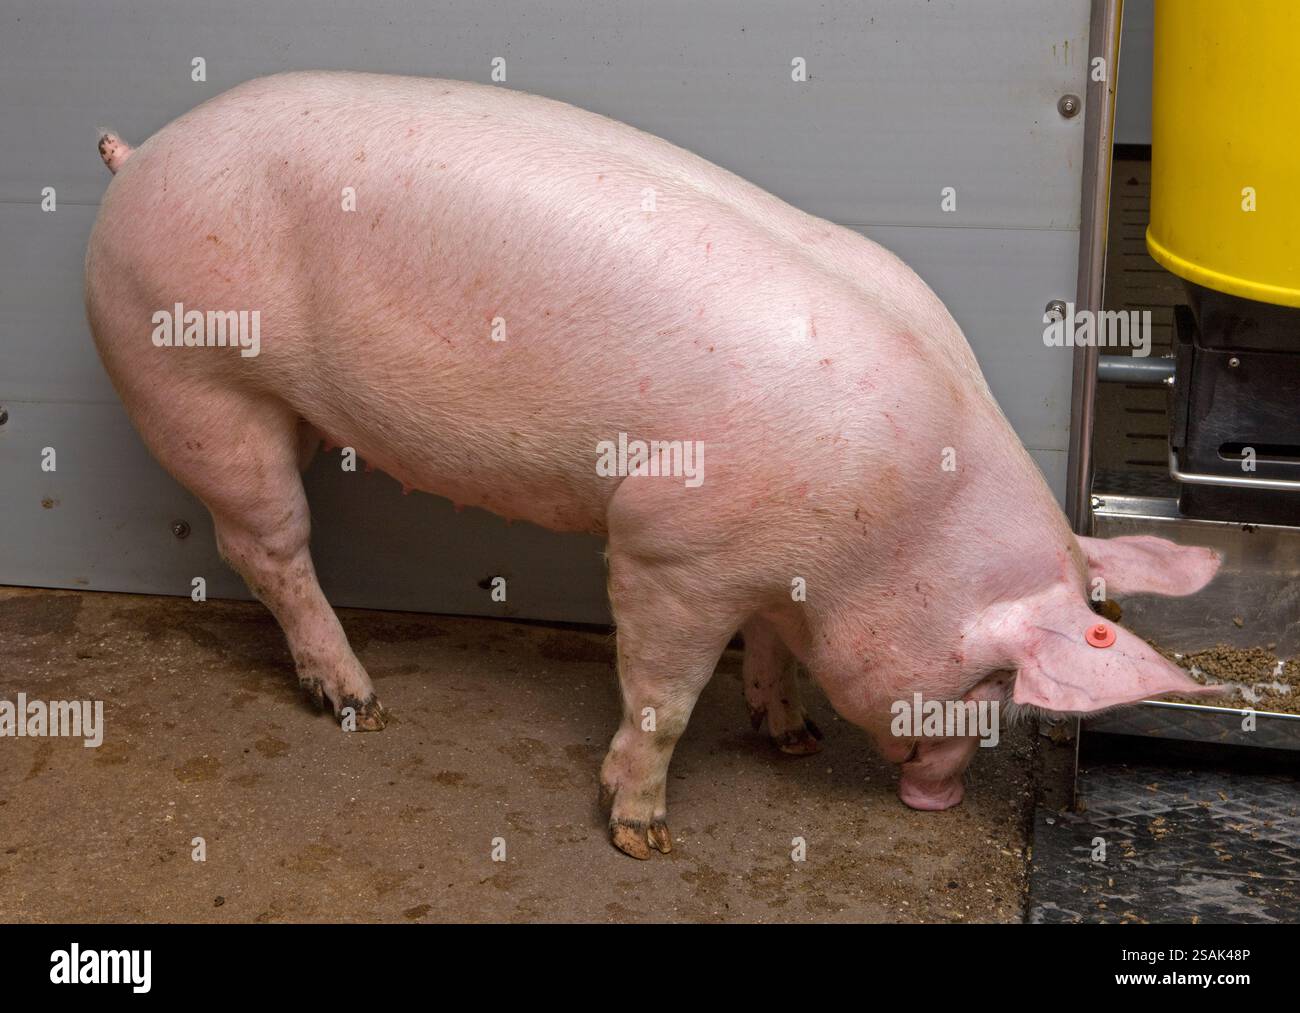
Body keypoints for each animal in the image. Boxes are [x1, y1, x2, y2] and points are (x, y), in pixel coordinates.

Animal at [84, 72, 1221, 859]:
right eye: (994, 679)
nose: (938, 793)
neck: (897, 525)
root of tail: (135, 158)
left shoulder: (767, 563)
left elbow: (773, 648)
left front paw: (793, 738)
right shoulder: (669, 547)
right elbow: (664, 694)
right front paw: (641, 834)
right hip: (191, 381)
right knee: (267, 546)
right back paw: (359, 701)